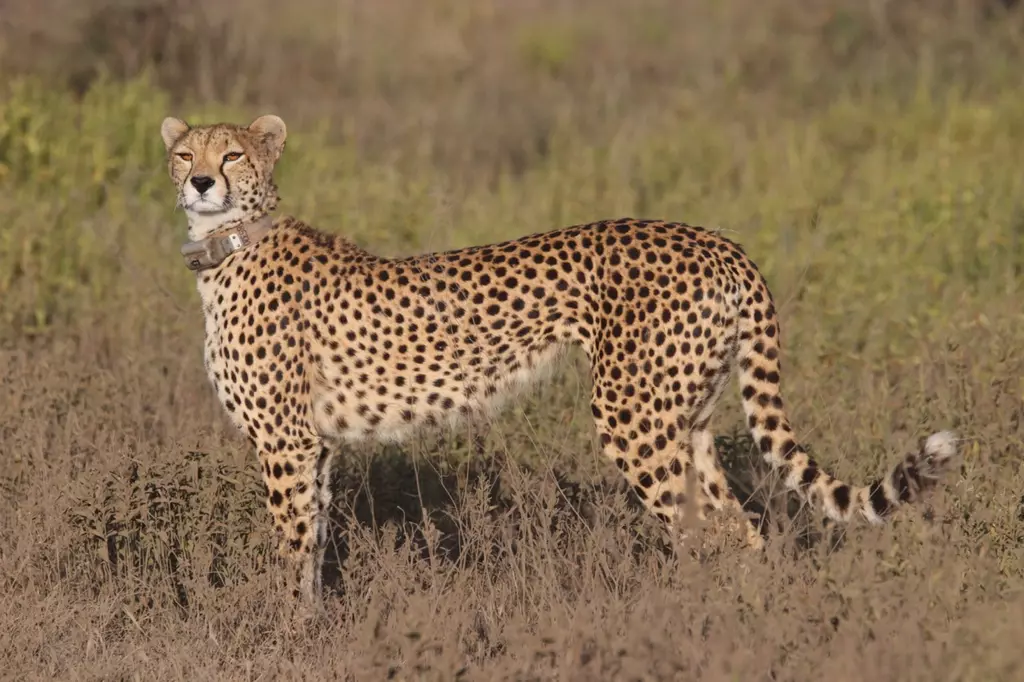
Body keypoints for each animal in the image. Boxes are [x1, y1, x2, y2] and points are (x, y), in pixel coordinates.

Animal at [160, 113, 960, 609]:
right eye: (184, 153)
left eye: (232, 154)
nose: (200, 182)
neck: (230, 242)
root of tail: (718, 240)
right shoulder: (315, 445)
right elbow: (316, 545)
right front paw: (313, 626)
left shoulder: (285, 444)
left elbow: (291, 549)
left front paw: (285, 635)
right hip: (689, 419)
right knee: (739, 531)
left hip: (633, 417)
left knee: (706, 532)